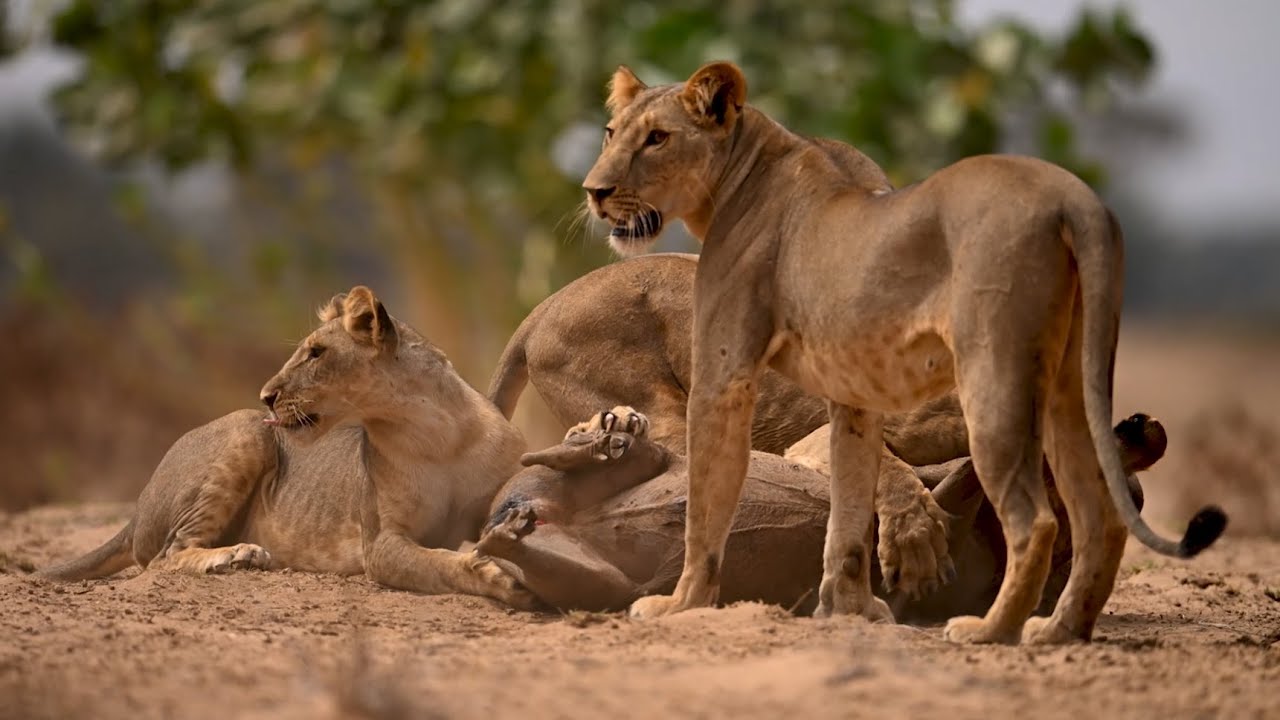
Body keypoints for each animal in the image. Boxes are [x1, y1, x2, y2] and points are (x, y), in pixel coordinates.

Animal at [38, 286, 534, 609]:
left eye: (316, 353)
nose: (266, 396)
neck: (434, 434)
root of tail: (136, 513)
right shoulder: (380, 546)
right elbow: (439, 562)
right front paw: (493, 575)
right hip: (247, 430)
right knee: (165, 556)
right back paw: (235, 557)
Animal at [474, 406, 1165, 623]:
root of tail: (533, 508)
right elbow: (947, 478)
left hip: (601, 584)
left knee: (515, 544)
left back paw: (513, 531)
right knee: (614, 454)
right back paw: (606, 435)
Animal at [579, 61, 1226, 643]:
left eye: (658, 138)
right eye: (612, 132)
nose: (594, 192)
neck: (739, 172)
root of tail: (1074, 199)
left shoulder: (724, 377)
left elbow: (706, 505)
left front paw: (680, 605)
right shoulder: (853, 395)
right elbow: (849, 503)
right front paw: (849, 610)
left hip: (993, 381)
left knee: (1037, 520)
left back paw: (990, 630)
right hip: (1073, 388)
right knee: (1102, 517)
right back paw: (1059, 631)